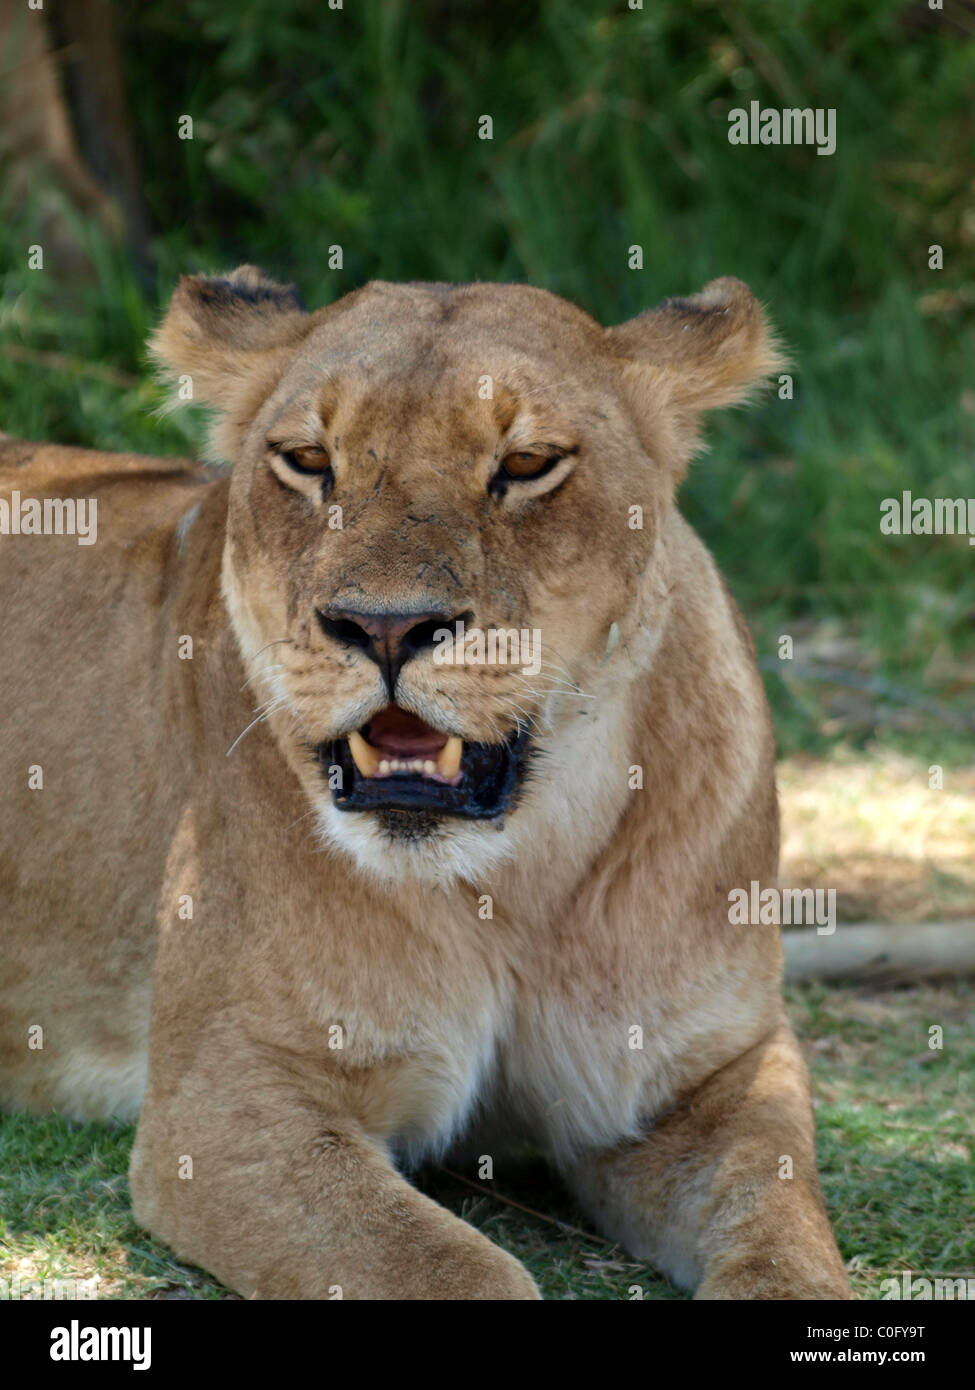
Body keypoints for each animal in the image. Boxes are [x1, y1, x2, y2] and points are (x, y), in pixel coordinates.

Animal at [0, 268, 850, 1299]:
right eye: (307, 460)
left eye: (527, 464)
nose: (385, 627)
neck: (517, 883)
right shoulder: (231, 1102)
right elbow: (453, 1271)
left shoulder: (711, 1072)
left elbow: (779, 1226)